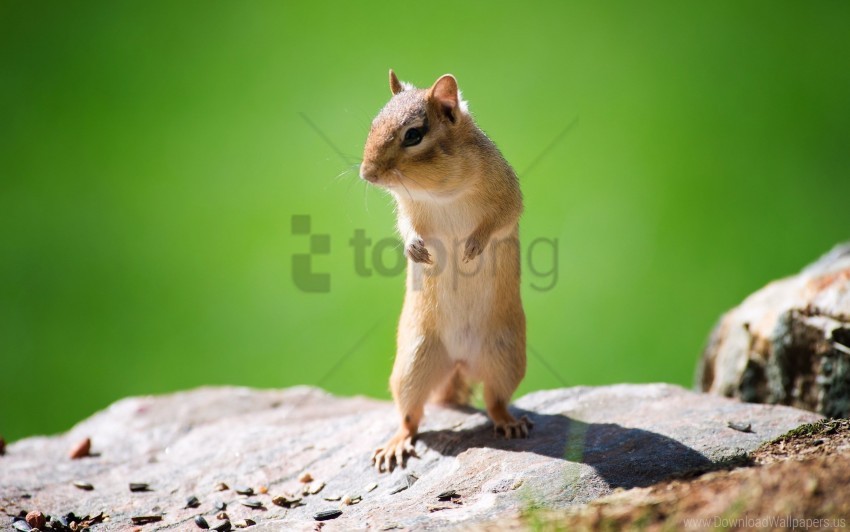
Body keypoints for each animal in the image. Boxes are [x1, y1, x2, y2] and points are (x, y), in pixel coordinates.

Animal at [360, 70, 531, 472]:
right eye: (373, 123)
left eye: (413, 135)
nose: (366, 174)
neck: (439, 192)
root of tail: (460, 362)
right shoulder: (407, 209)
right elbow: (406, 228)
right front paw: (415, 249)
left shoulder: (507, 192)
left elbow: (502, 219)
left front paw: (472, 247)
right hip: (412, 364)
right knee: (410, 416)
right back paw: (396, 444)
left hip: (506, 359)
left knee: (495, 400)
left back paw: (509, 422)